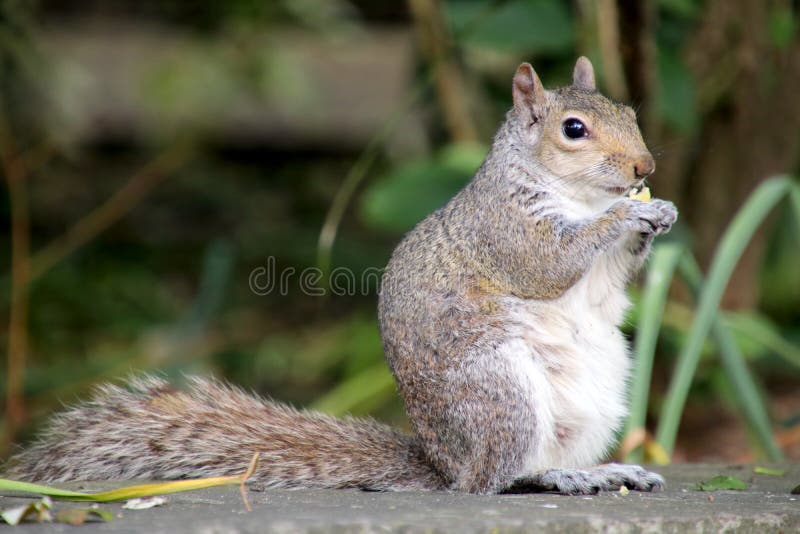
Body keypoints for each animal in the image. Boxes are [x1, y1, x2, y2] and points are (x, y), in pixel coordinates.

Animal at [6, 57, 676, 495]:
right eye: (573, 130)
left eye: (628, 111)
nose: (646, 166)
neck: (576, 195)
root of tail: (445, 463)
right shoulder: (502, 227)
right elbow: (549, 264)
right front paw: (628, 214)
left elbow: (611, 281)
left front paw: (658, 215)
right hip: (499, 389)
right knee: (496, 478)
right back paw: (553, 476)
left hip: (602, 387)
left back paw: (600, 469)